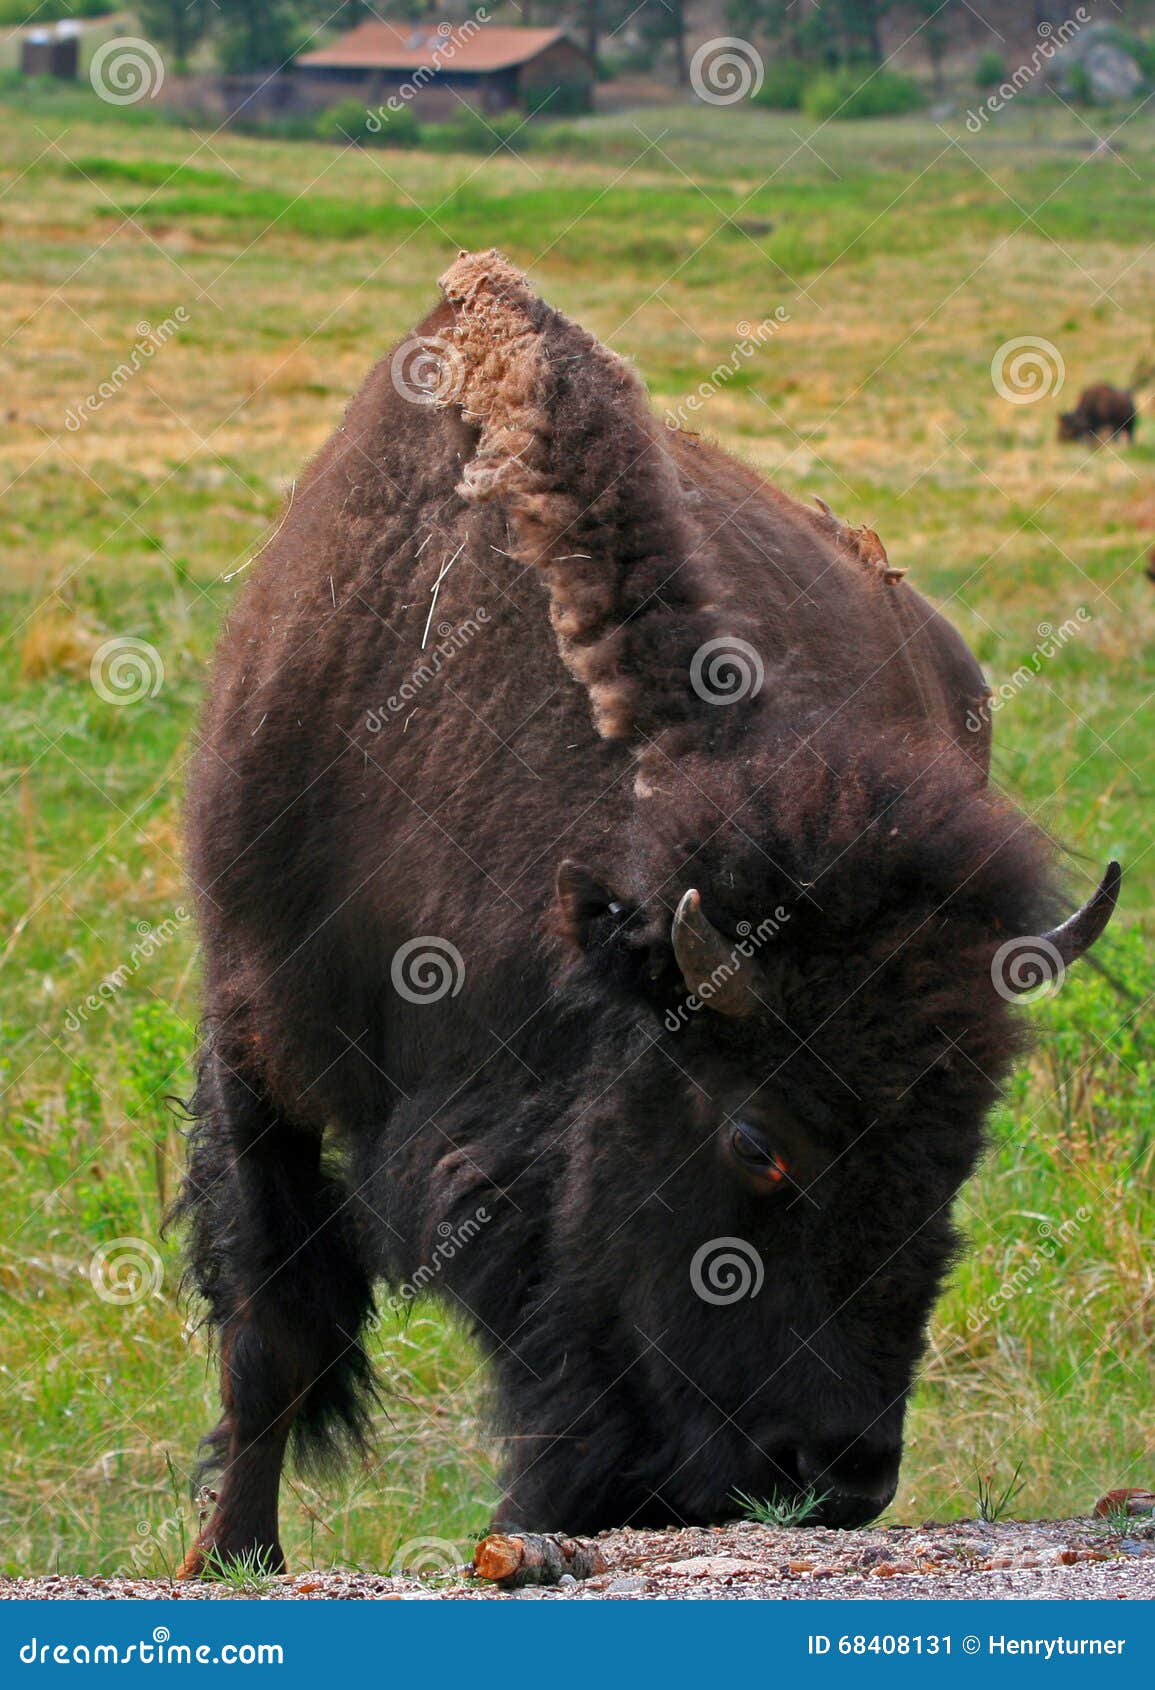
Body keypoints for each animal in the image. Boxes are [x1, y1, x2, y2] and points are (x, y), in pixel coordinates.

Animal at [176, 250, 1119, 1575]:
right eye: (757, 1139)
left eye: (960, 1153)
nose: (840, 1473)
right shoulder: (257, 1042)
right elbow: (274, 1332)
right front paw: (231, 1556)